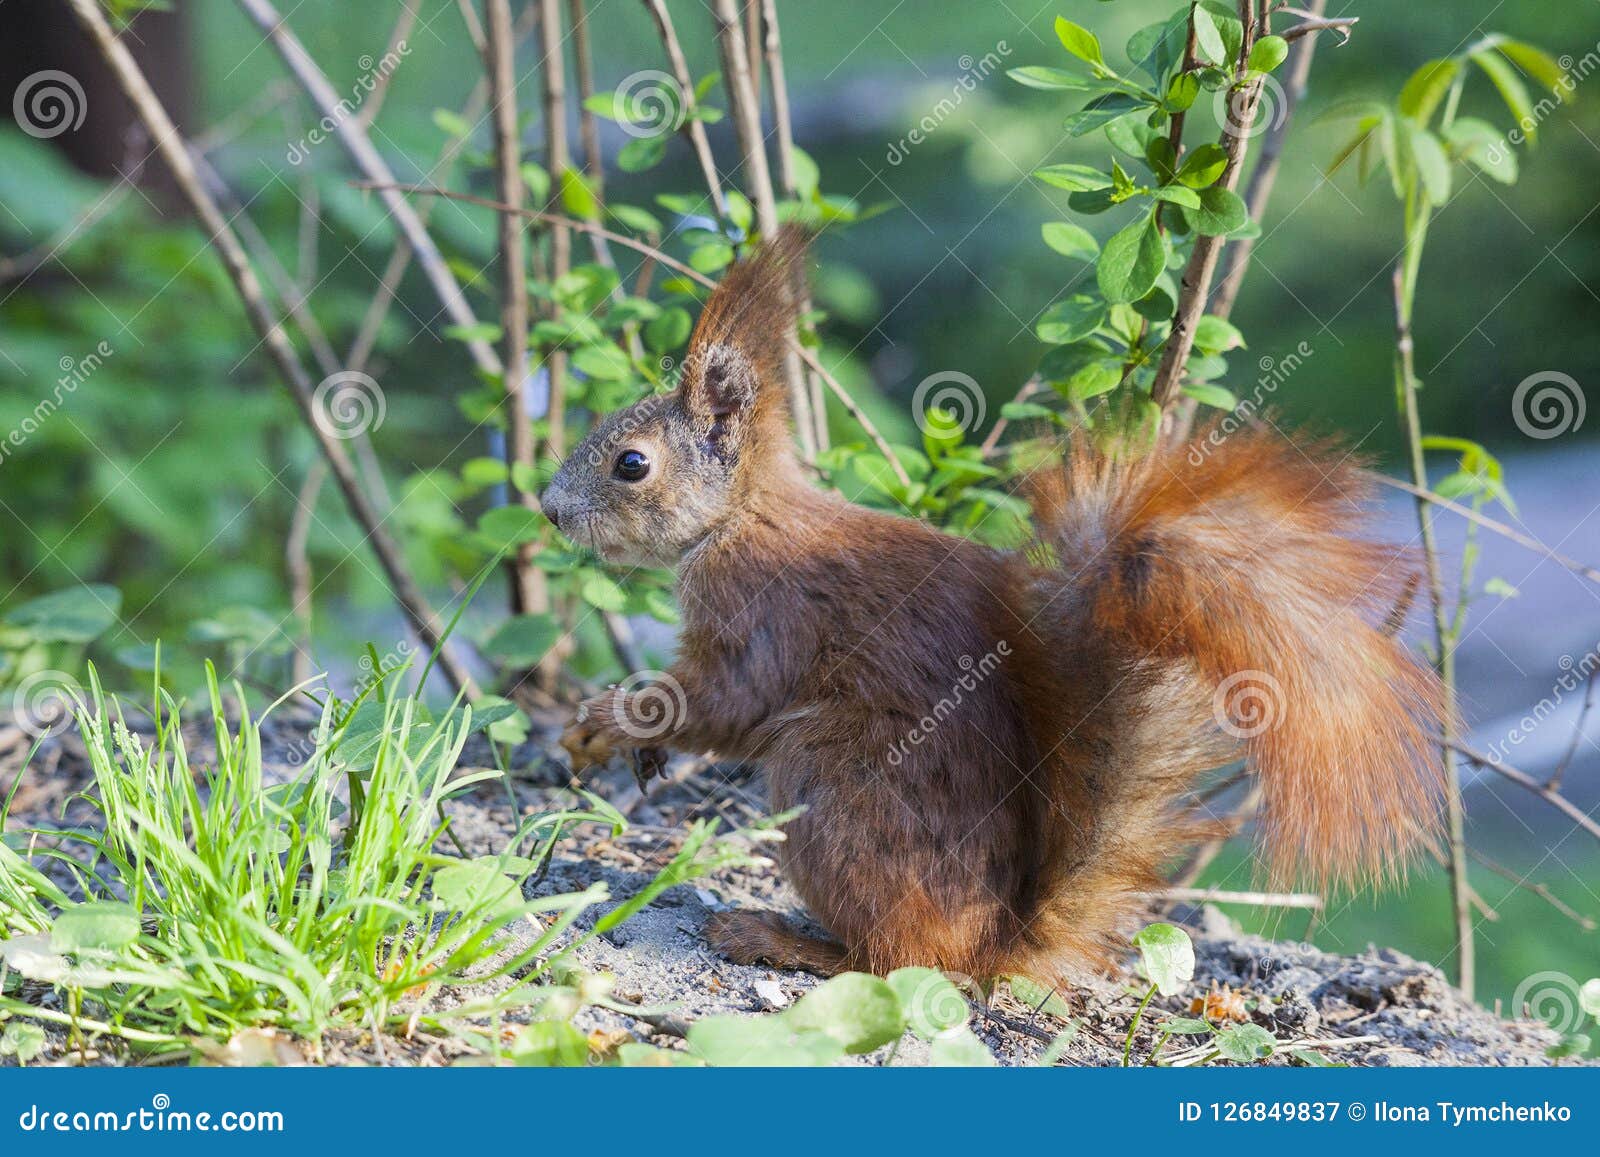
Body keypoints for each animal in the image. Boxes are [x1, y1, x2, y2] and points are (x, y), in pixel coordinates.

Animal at [539, 228, 1444, 983]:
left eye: (631, 463)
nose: (548, 509)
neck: (741, 515)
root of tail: (995, 941)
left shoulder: (757, 609)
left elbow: (725, 702)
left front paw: (605, 721)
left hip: (830, 781)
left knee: (895, 961)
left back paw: (780, 937)